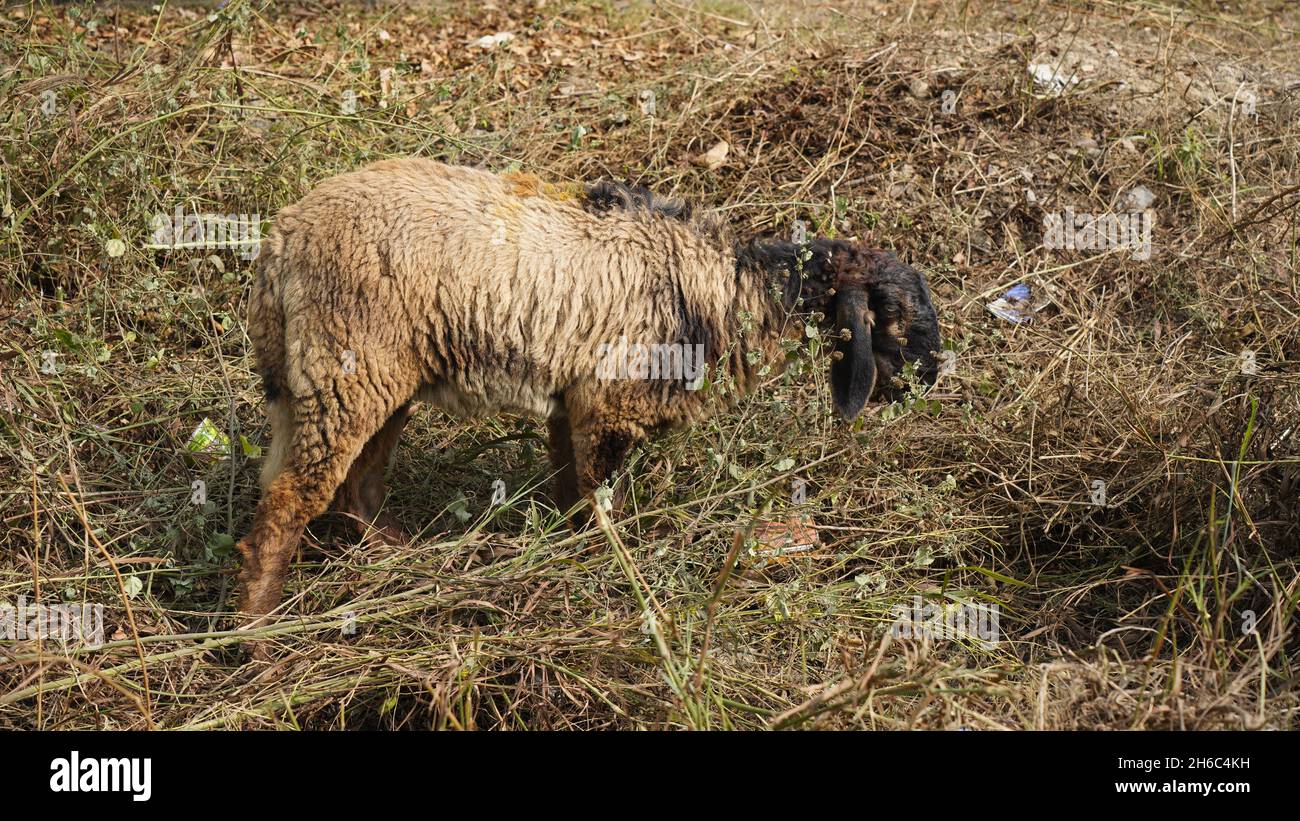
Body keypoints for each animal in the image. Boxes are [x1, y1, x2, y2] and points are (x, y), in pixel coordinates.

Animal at [237, 158, 941, 618]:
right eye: (895, 316)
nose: (931, 379)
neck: (727, 292)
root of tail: (281, 243)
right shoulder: (607, 404)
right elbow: (599, 500)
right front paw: (617, 573)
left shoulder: (571, 401)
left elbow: (571, 491)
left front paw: (569, 558)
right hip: (343, 372)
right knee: (287, 504)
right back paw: (259, 637)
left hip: (374, 377)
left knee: (358, 484)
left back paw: (400, 559)